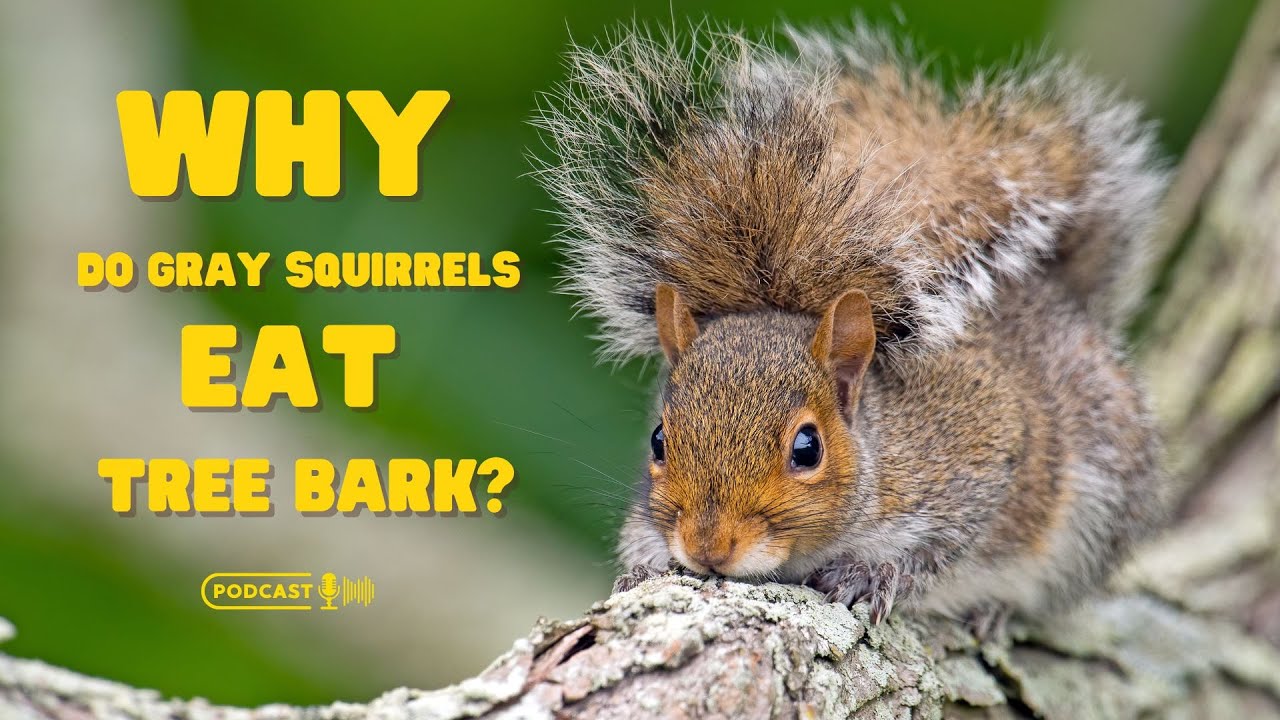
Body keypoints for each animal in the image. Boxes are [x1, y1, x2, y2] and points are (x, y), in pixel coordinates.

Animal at [533, 24, 1169, 629]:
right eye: (658, 440)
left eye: (807, 448)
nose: (708, 548)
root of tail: (1059, 296)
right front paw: (644, 568)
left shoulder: (981, 452)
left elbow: (942, 547)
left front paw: (873, 573)